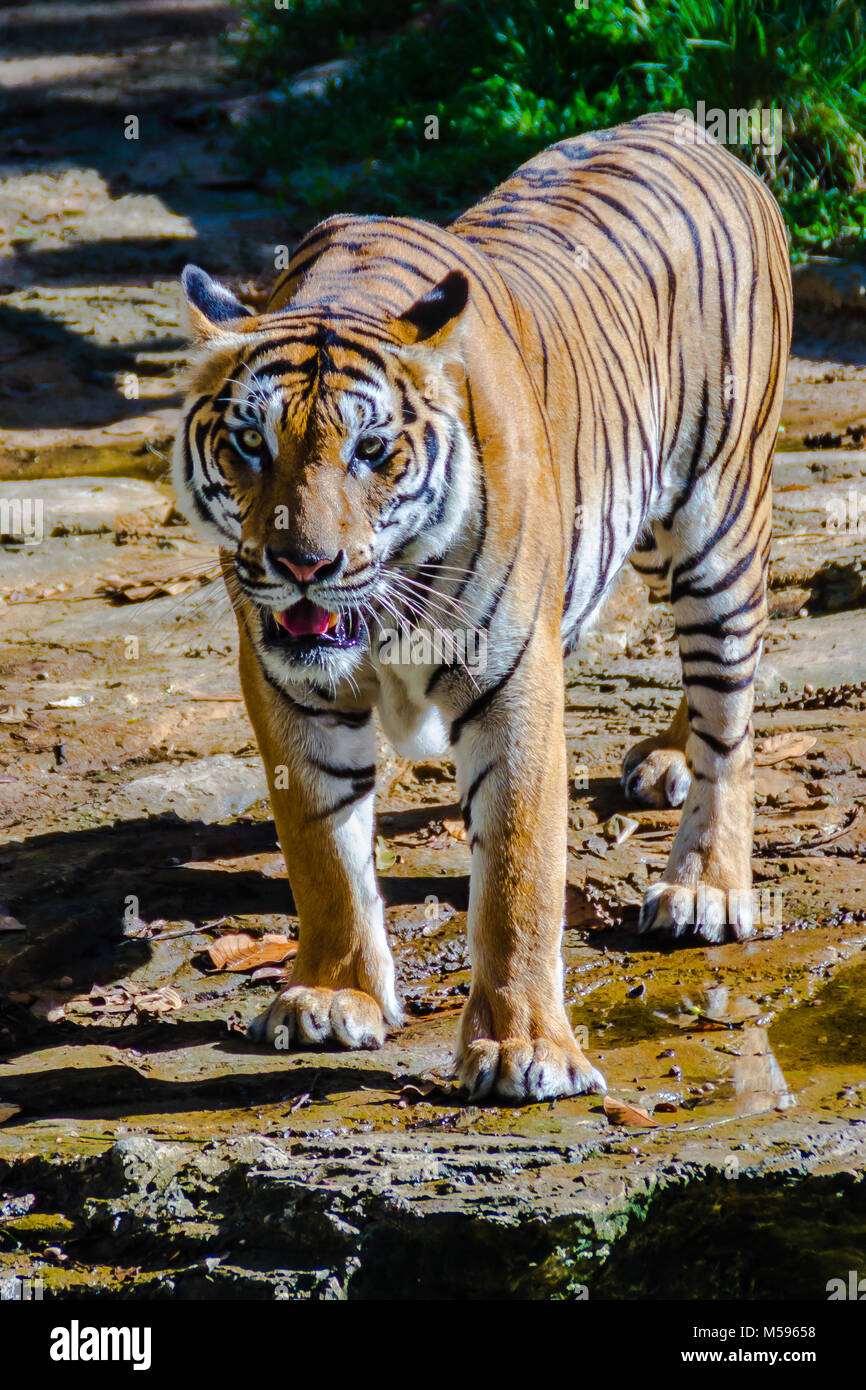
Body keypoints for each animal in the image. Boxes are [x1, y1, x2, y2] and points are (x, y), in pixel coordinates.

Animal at [173, 112, 792, 1103]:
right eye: (249, 445)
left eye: (372, 450)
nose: (303, 564)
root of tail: (686, 124)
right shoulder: (287, 684)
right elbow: (323, 855)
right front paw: (332, 997)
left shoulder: (513, 682)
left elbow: (517, 877)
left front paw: (524, 1048)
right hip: (644, 531)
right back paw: (666, 755)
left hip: (716, 523)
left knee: (729, 712)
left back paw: (704, 885)